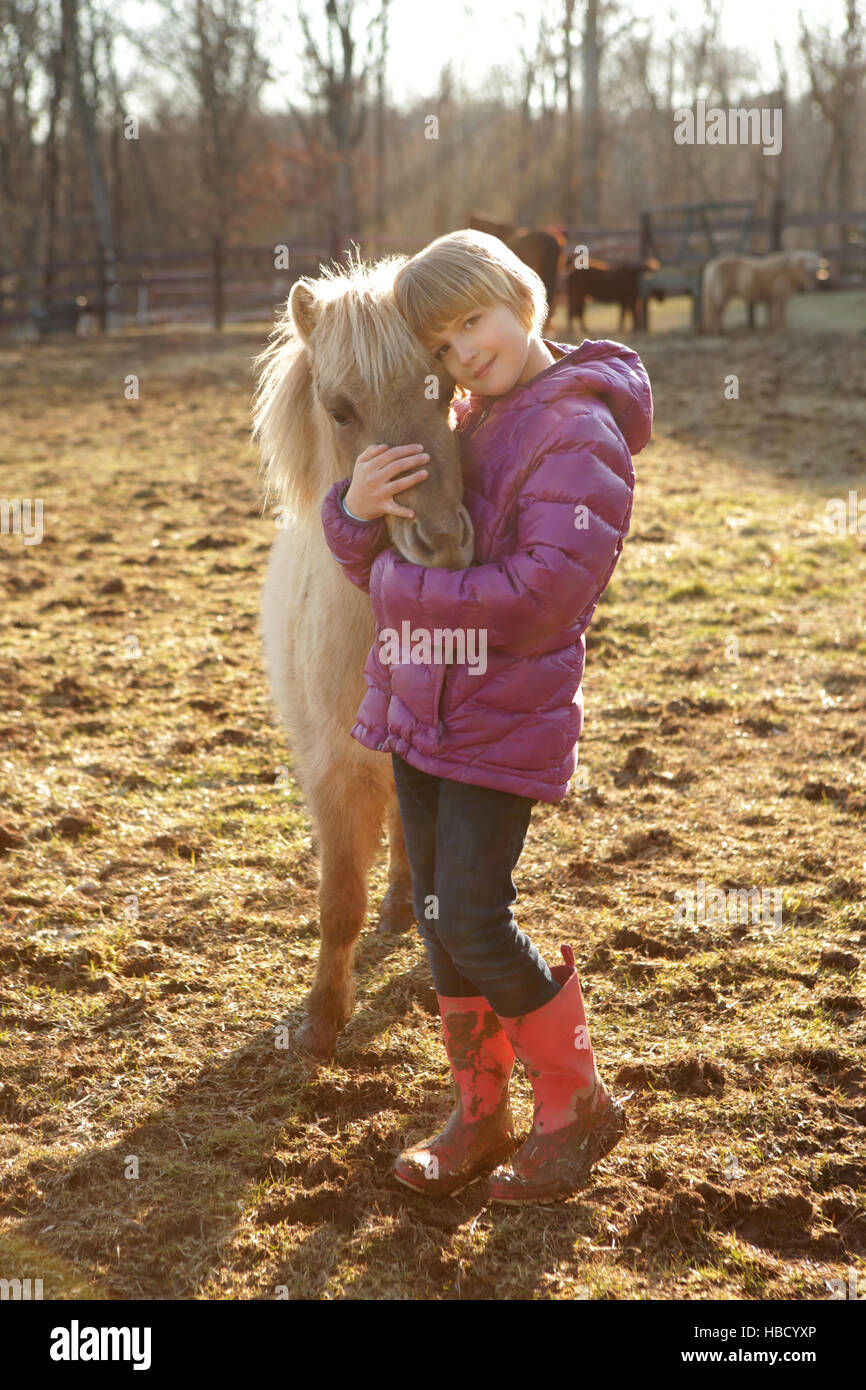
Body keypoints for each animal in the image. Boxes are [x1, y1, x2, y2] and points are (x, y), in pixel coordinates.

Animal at [252, 251, 474, 1059]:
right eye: (340, 408)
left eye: (444, 383)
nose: (441, 542)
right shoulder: (332, 775)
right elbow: (338, 903)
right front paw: (322, 1021)